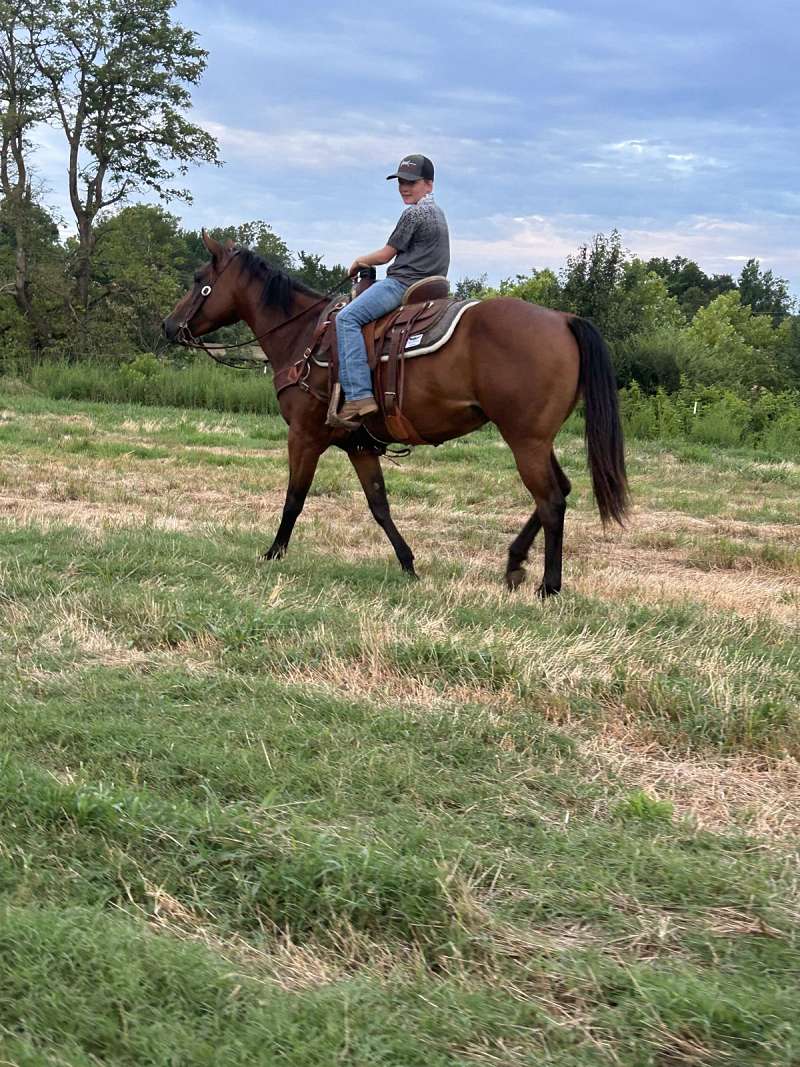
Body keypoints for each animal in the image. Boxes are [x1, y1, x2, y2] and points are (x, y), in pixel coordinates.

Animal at [163, 231, 628, 596]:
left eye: (200, 280)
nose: (168, 326)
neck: (305, 335)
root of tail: (564, 319)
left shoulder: (305, 435)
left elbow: (294, 498)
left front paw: (274, 553)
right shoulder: (359, 445)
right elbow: (379, 504)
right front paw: (408, 563)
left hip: (525, 440)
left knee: (550, 500)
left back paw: (549, 585)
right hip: (538, 439)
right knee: (561, 490)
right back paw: (514, 564)